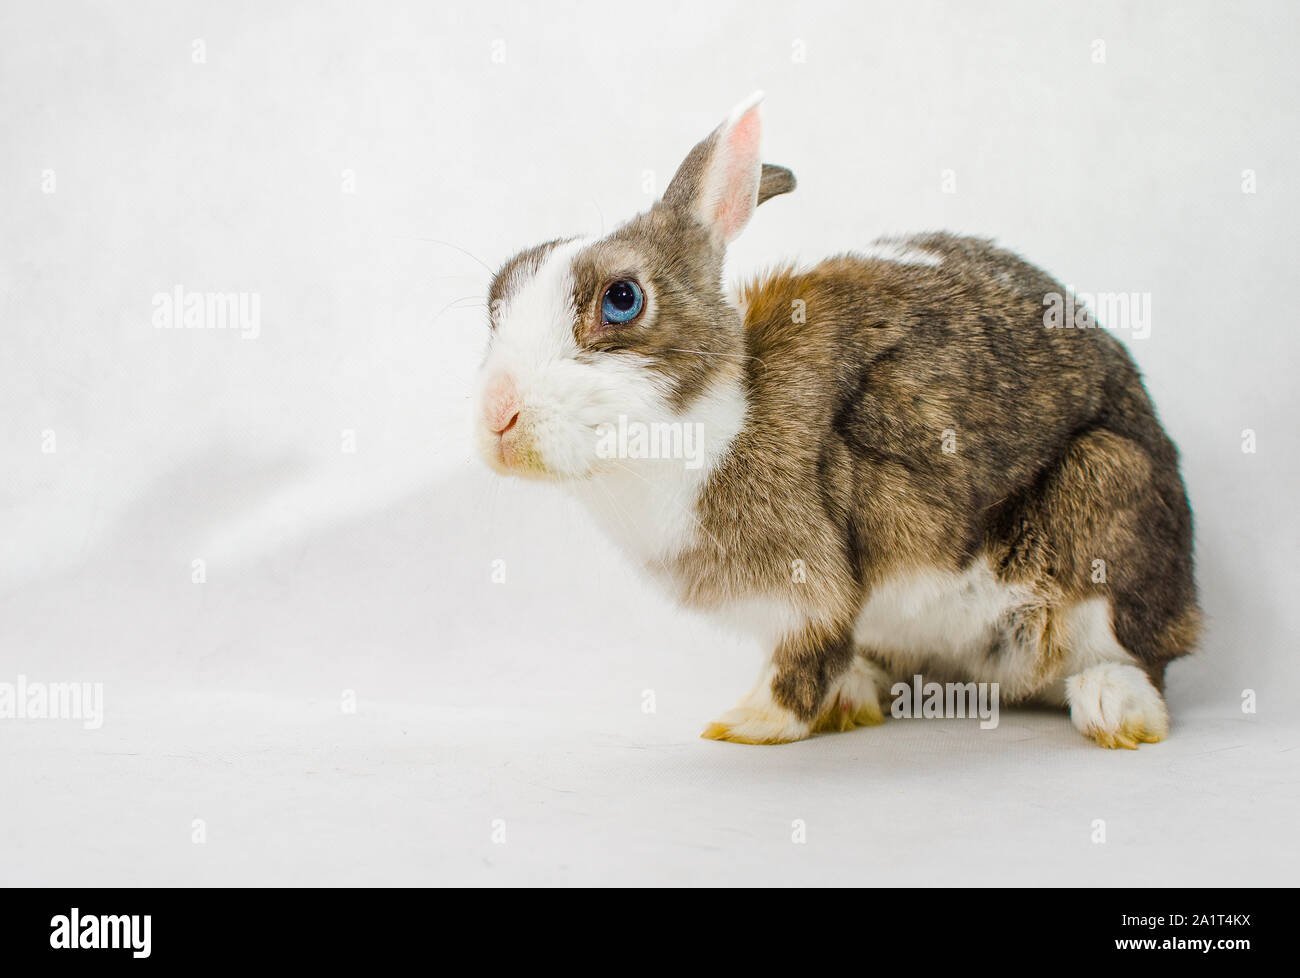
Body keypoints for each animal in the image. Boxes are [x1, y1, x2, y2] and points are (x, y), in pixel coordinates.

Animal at [476, 92, 1200, 748]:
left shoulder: (816, 583)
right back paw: (859, 696)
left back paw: (1113, 707)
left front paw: (749, 723)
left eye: (622, 299)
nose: (496, 417)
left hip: (1106, 497)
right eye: (494, 301)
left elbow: (805, 657)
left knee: (1142, 660)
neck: (720, 416)